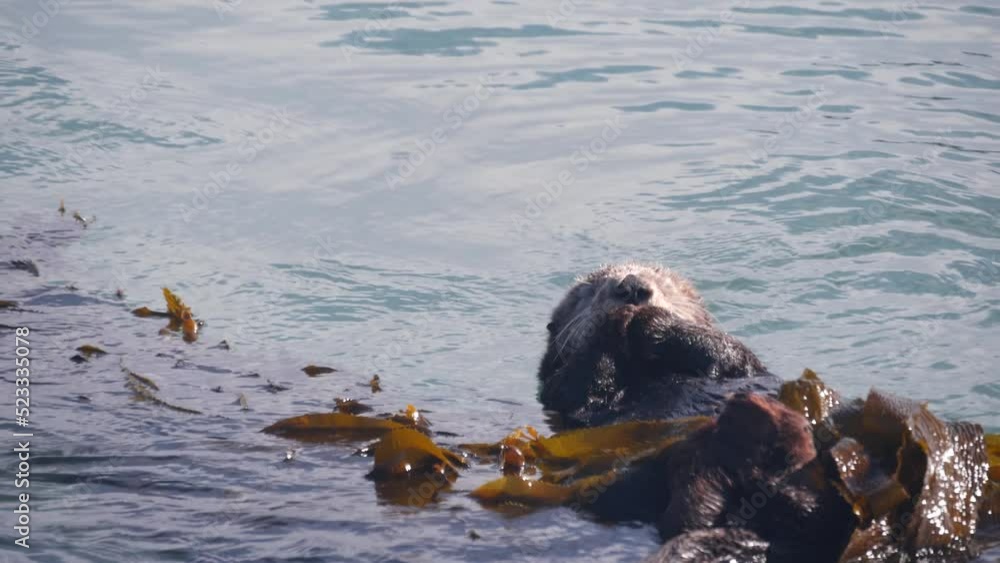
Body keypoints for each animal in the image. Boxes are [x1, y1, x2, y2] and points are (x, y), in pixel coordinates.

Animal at [538, 262, 781, 427]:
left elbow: (732, 354)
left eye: (667, 286)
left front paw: (654, 317)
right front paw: (615, 321)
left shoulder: (742, 369)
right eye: (588, 292)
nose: (632, 285)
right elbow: (572, 388)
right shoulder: (560, 396)